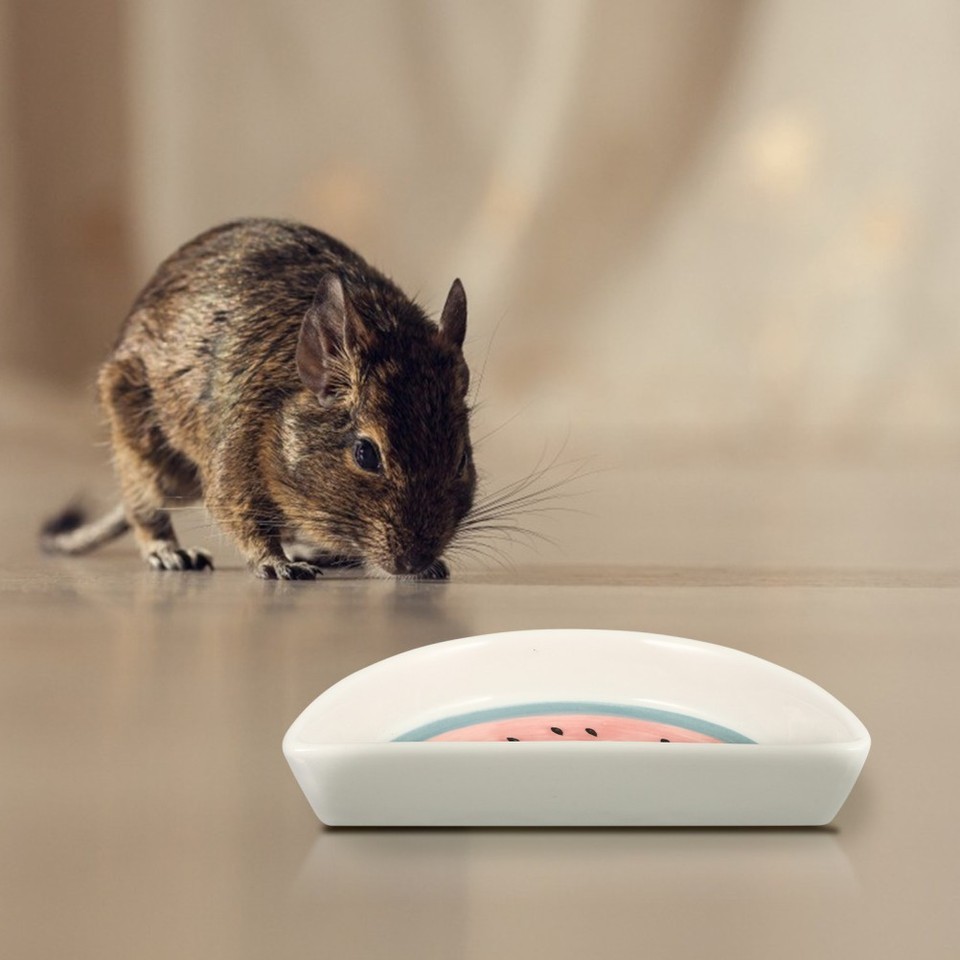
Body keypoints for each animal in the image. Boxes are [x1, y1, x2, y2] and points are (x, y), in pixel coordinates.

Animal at [41, 219, 476, 580]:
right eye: (366, 454)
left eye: (460, 459)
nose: (414, 562)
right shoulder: (232, 470)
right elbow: (245, 523)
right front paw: (278, 565)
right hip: (145, 448)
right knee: (142, 509)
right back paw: (171, 554)